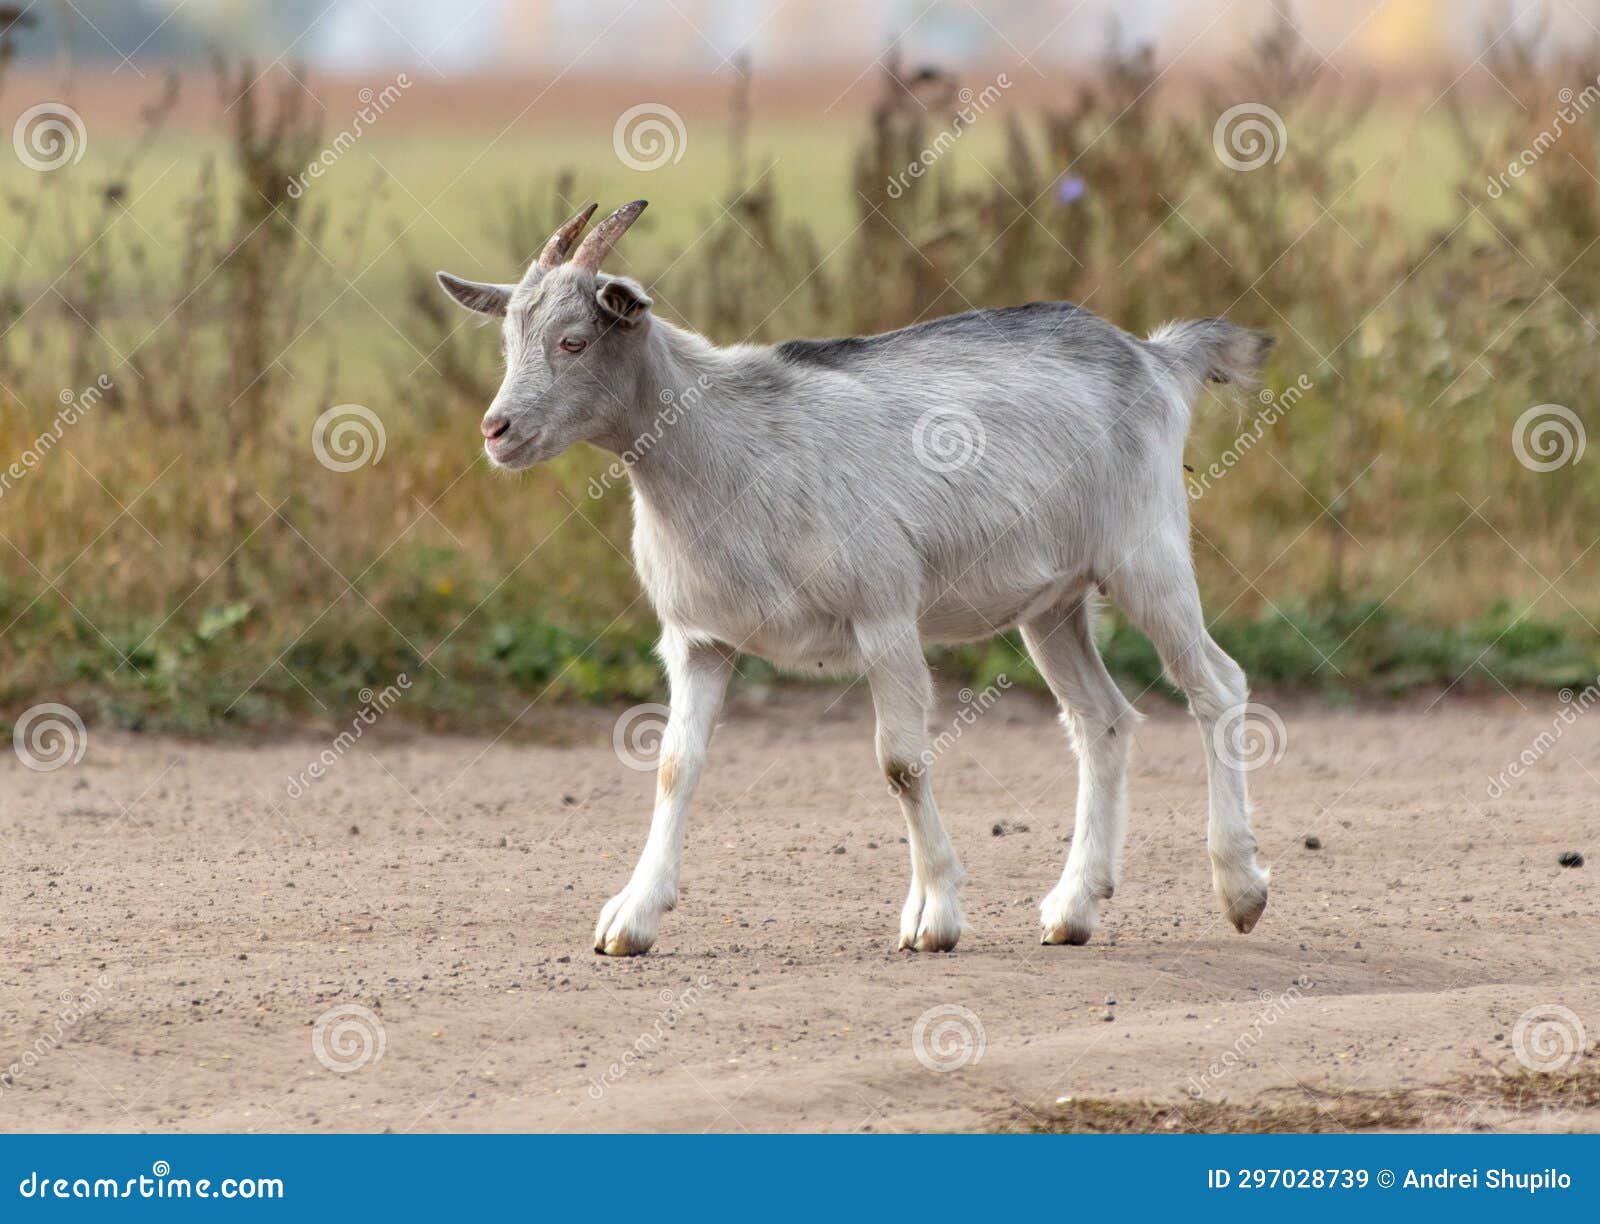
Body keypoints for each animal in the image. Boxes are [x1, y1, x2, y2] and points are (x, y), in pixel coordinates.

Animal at [438, 200, 1273, 956]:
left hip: (1146, 552)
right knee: (1102, 719)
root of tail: (1157, 356)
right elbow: (675, 766)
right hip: (1053, 601)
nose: (496, 430)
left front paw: (933, 914)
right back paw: (1073, 908)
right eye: (510, 340)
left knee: (1216, 685)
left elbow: (901, 761)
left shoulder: (884, 614)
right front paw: (631, 917)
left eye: (574, 340)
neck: (721, 444)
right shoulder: (699, 639)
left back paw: (1240, 889)